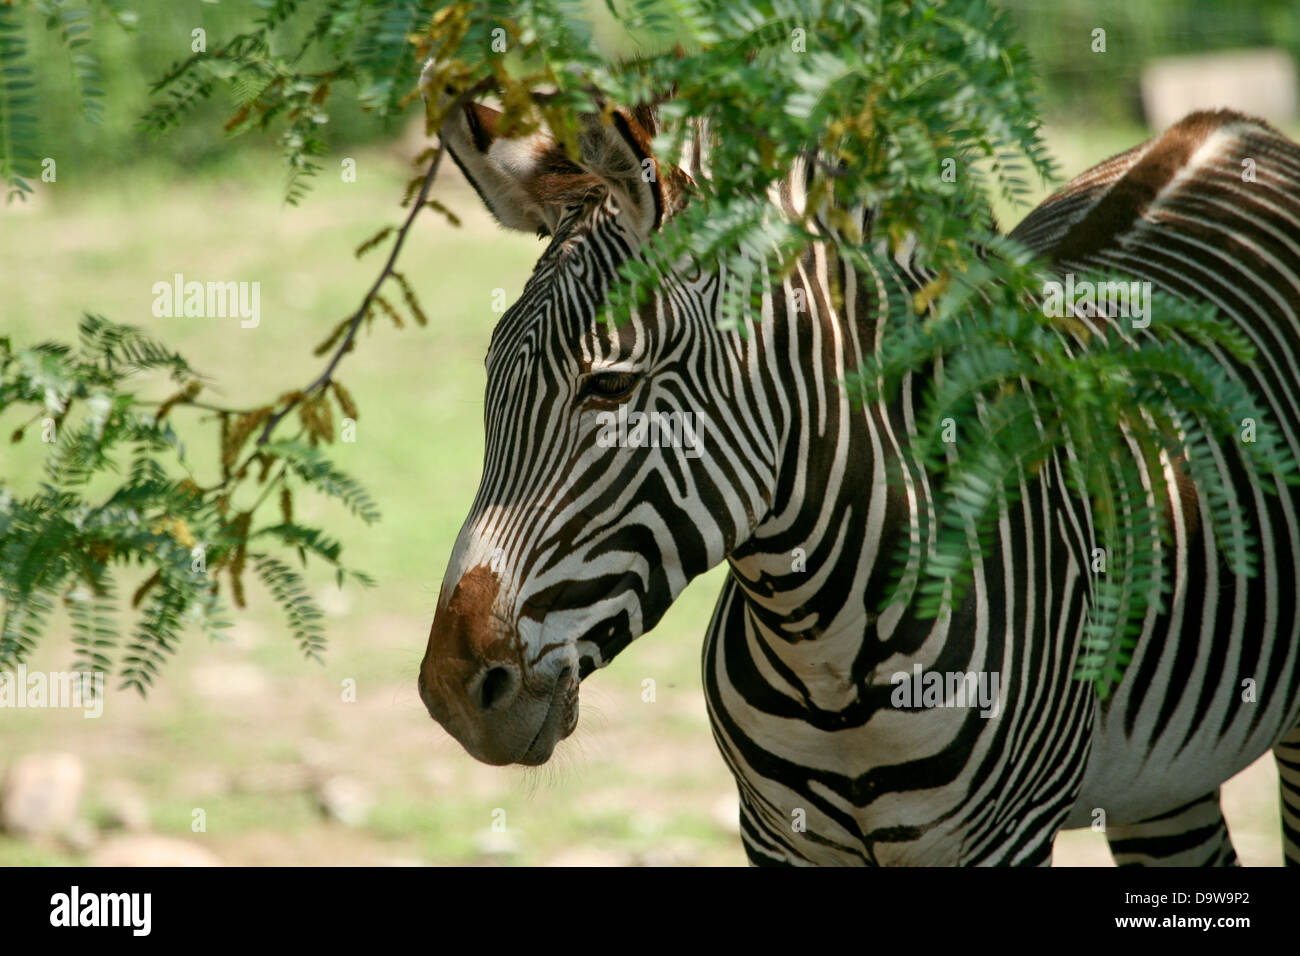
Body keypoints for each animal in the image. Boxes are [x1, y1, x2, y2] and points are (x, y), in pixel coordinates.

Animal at [416, 87, 1300, 865]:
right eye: (490, 381)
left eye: (608, 386)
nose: (454, 695)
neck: (830, 662)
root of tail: (1230, 123)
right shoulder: (777, 836)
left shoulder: (1002, 840)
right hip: (1163, 781)